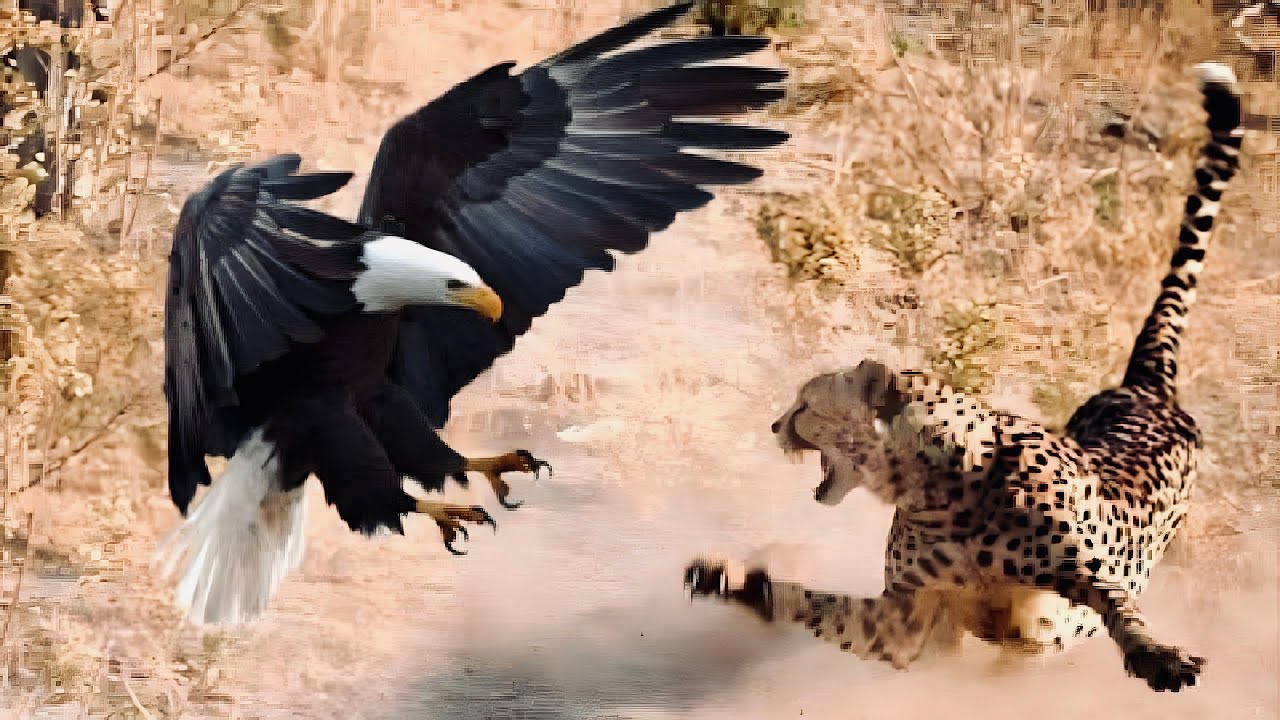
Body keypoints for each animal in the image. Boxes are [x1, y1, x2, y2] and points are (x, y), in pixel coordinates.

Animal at [684, 62, 1244, 693]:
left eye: (806, 404)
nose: (776, 425)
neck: (943, 487)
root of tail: (1145, 385)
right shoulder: (905, 620)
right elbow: (823, 606)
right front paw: (735, 583)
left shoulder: (1082, 572)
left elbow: (1108, 601)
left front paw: (1156, 654)